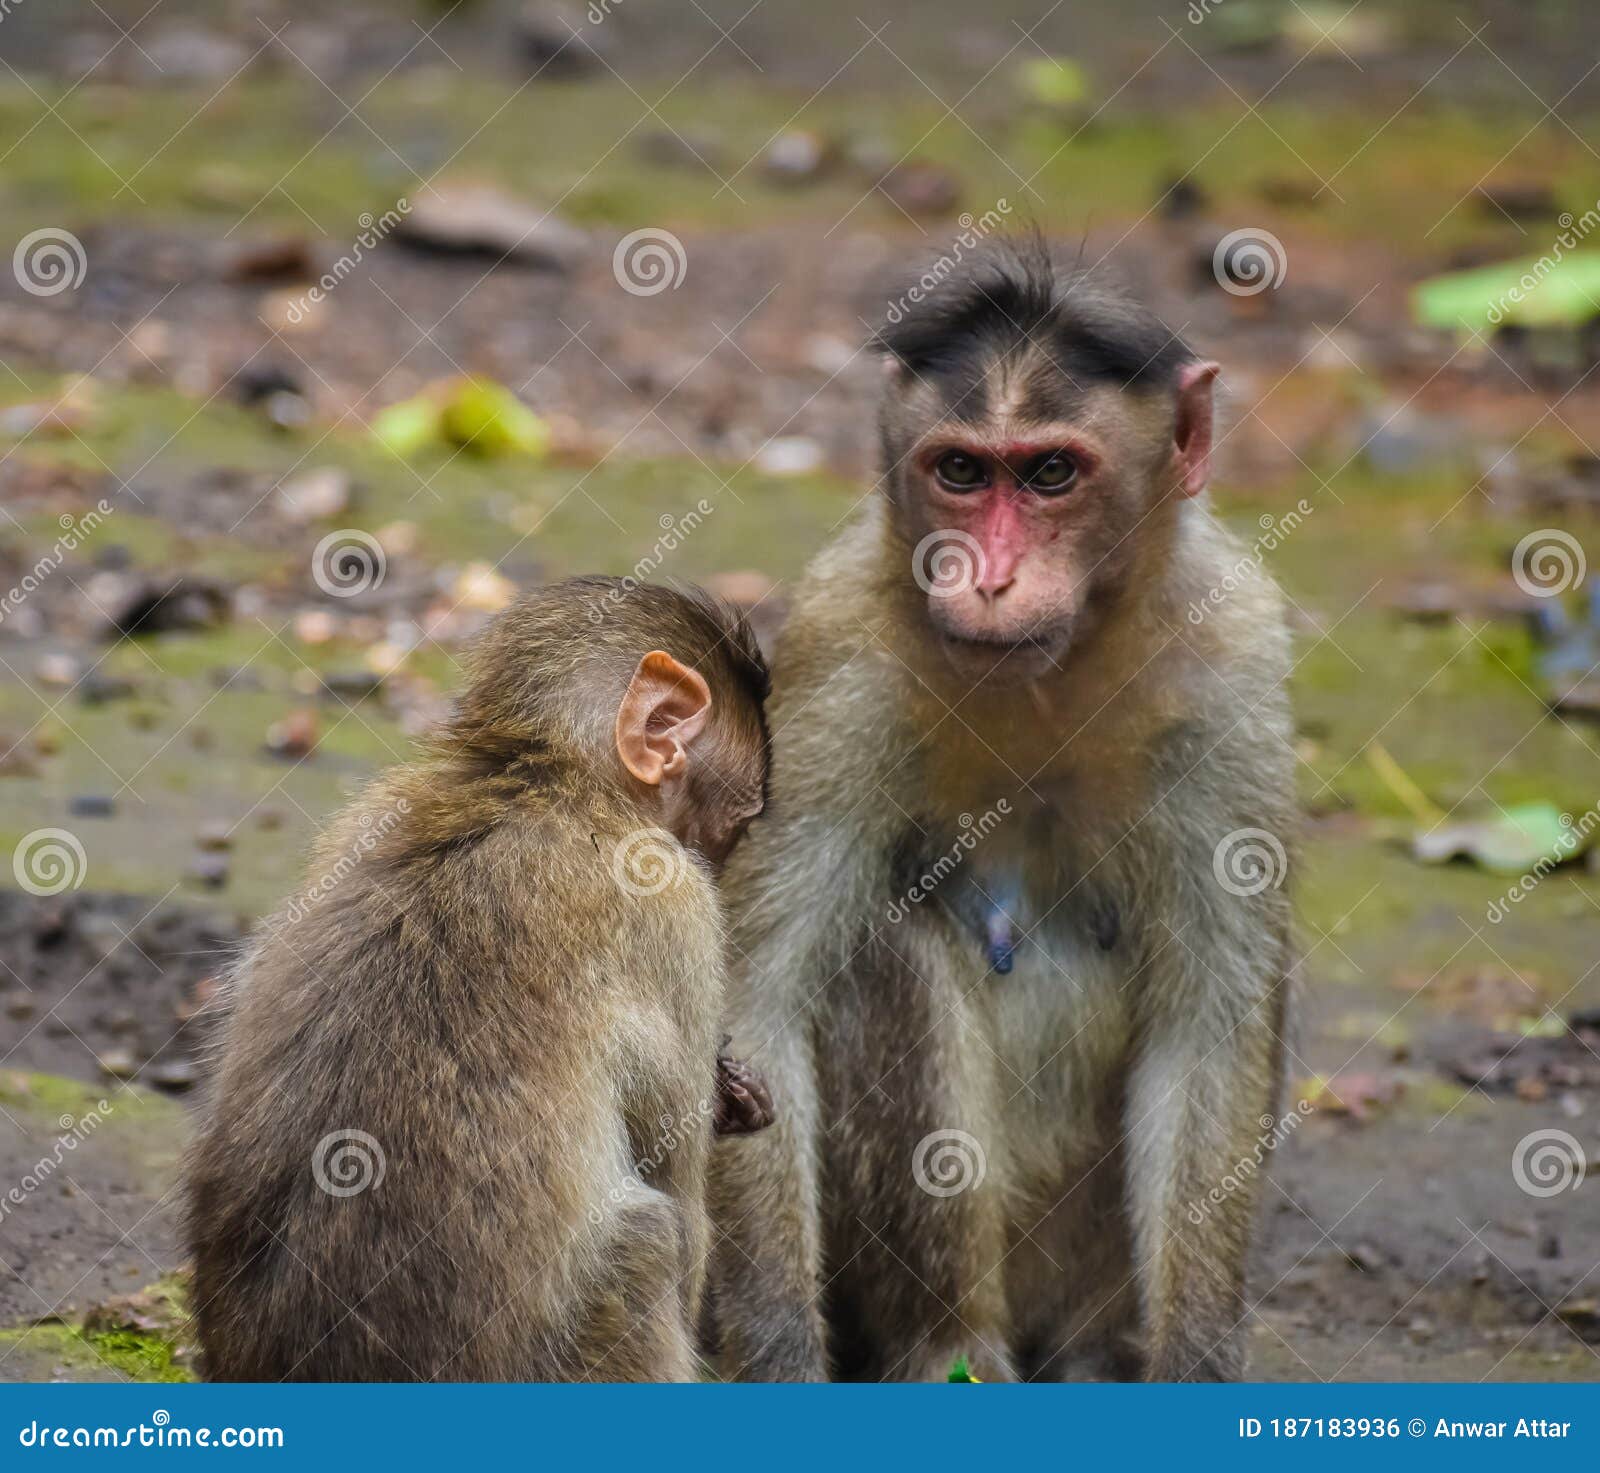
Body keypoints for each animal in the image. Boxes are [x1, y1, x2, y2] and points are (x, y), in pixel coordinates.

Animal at [187, 576, 772, 1382]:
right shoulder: (675, 908)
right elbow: (681, 1229)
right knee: (649, 1241)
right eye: (737, 826)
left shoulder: (365, 819)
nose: (724, 864)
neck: (546, 784)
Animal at [708, 242, 1294, 1383]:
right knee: (886, 947)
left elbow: (1208, 1025)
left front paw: (1195, 1362)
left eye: (1051, 473)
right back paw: (950, 1346)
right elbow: (759, 1009)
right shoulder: (840, 653)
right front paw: (776, 1354)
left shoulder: (1232, 663)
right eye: (963, 473)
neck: (1051, 678)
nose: (986, 577)